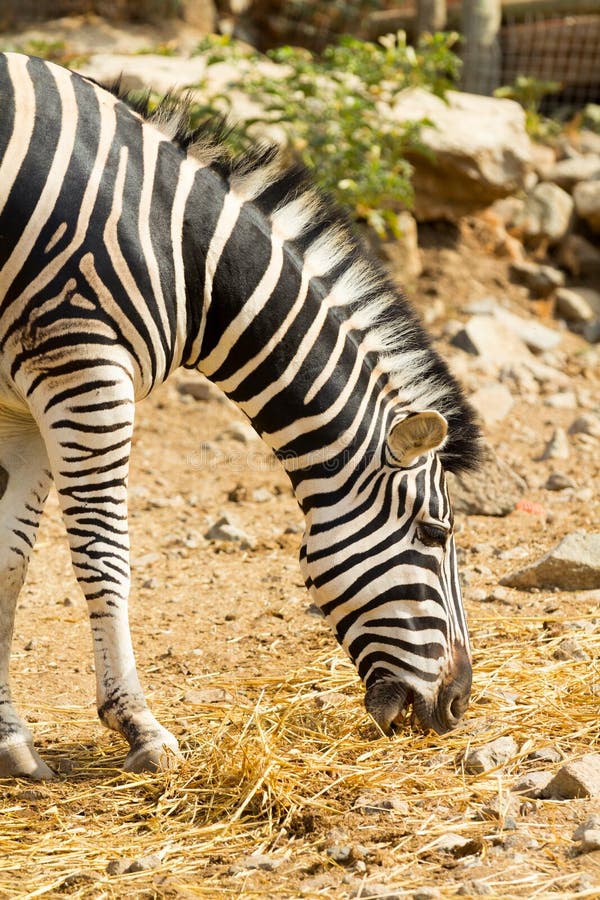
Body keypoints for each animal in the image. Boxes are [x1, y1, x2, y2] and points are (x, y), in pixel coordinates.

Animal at [0, 52, 481, 779]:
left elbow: (8, 559)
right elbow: (103, 555)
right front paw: (139, 727)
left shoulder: (22, 406)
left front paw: (9, 739)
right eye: (433, 533)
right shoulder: (83, 368)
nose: (458, 705)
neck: (188, 254)